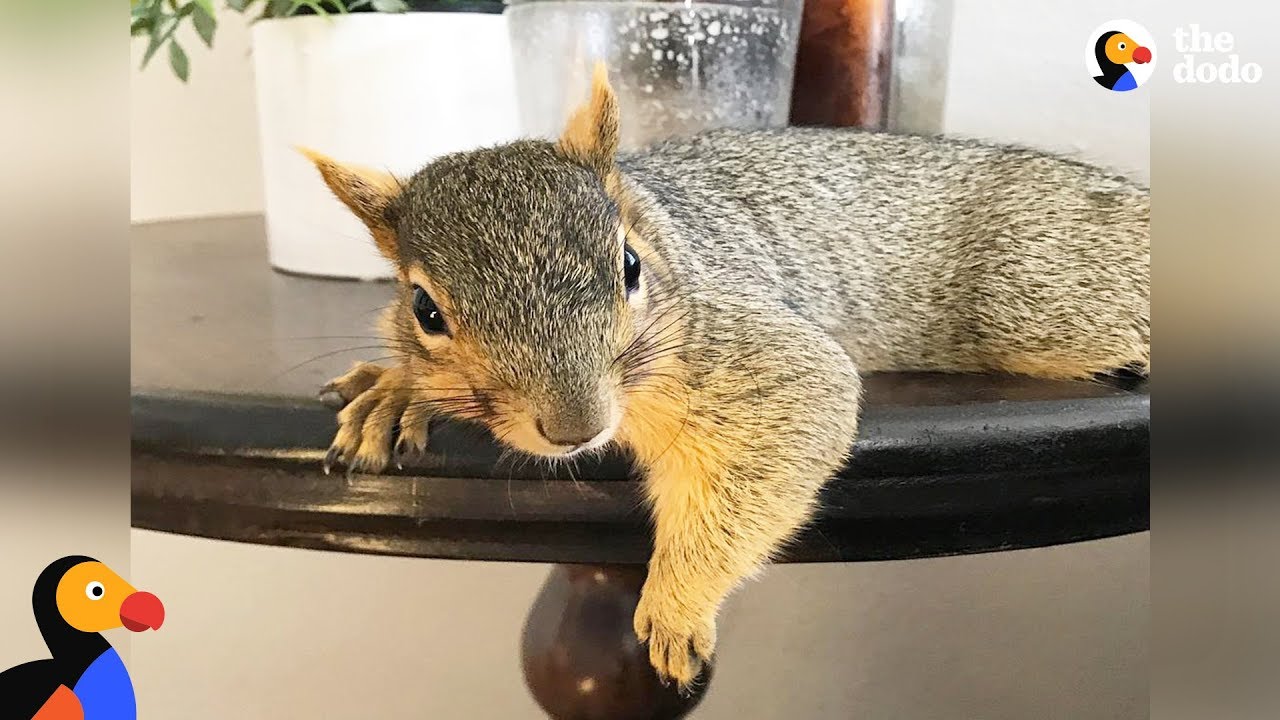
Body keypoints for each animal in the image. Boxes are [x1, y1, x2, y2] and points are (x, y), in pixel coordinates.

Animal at [302, 64, 1149, 690]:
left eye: (630, 265)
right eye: (424, 310)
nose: (575, 428)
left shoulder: (760, 354)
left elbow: (771, 444)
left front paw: (676, 605)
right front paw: (392, 392)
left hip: (1040, 288)